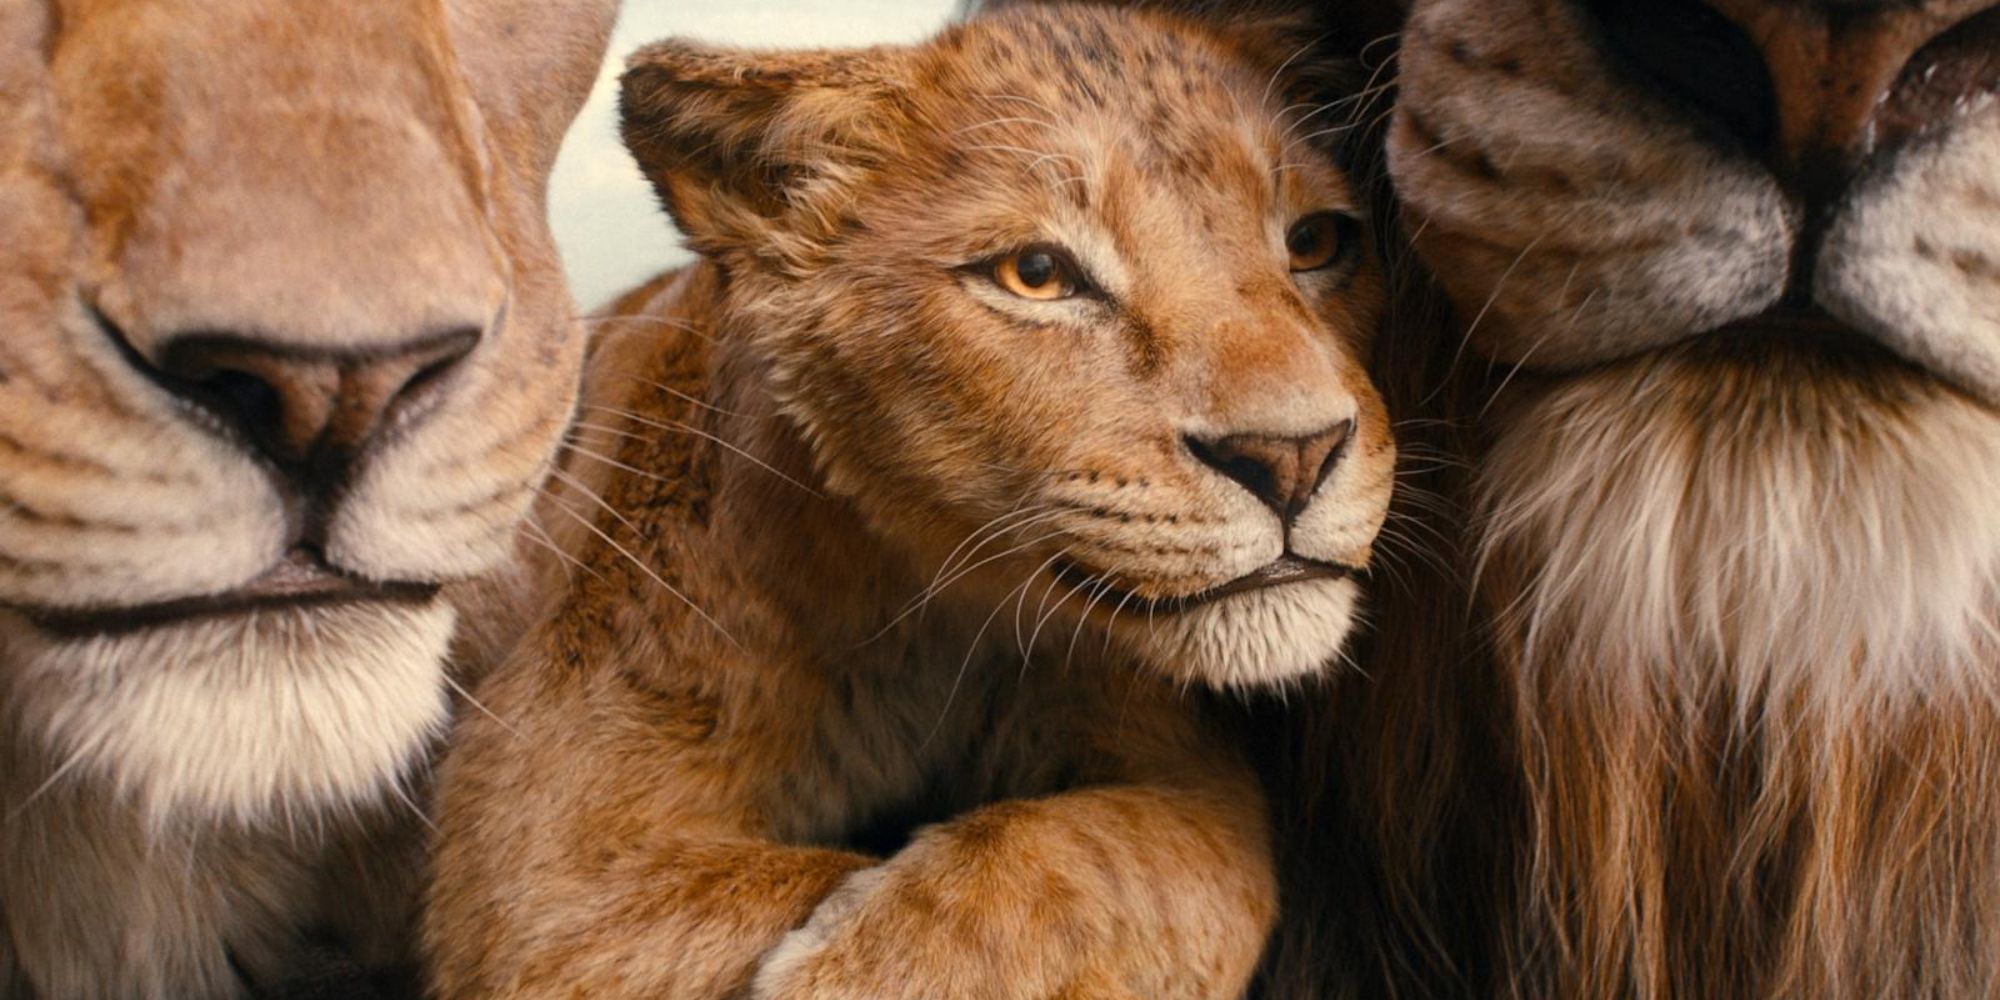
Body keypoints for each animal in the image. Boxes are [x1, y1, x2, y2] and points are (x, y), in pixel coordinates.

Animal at [421, 6, 1397, 998]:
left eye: (1315, 243)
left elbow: (1136, 865)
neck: (931, 620)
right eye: (1037, 272)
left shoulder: (1182, 771)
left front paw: (873, 961)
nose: (1293, 456)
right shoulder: (545, 857)